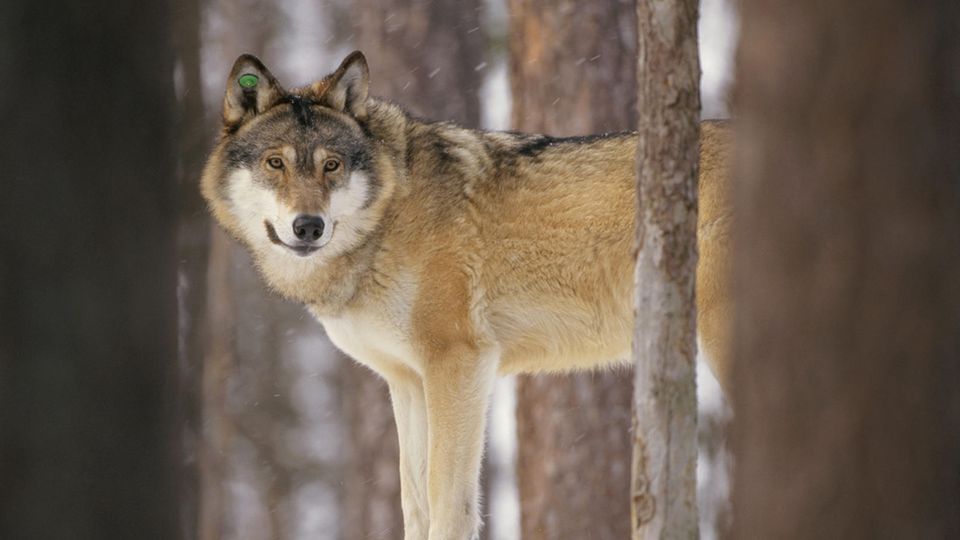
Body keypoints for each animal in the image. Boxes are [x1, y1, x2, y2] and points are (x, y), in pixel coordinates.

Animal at [201, 51, 731, 540]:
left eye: (331, 165)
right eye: (275, 163)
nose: (308, 226)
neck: (390, 214)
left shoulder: (458, 361)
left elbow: (446, 499)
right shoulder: (407, 380)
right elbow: (413, 502)